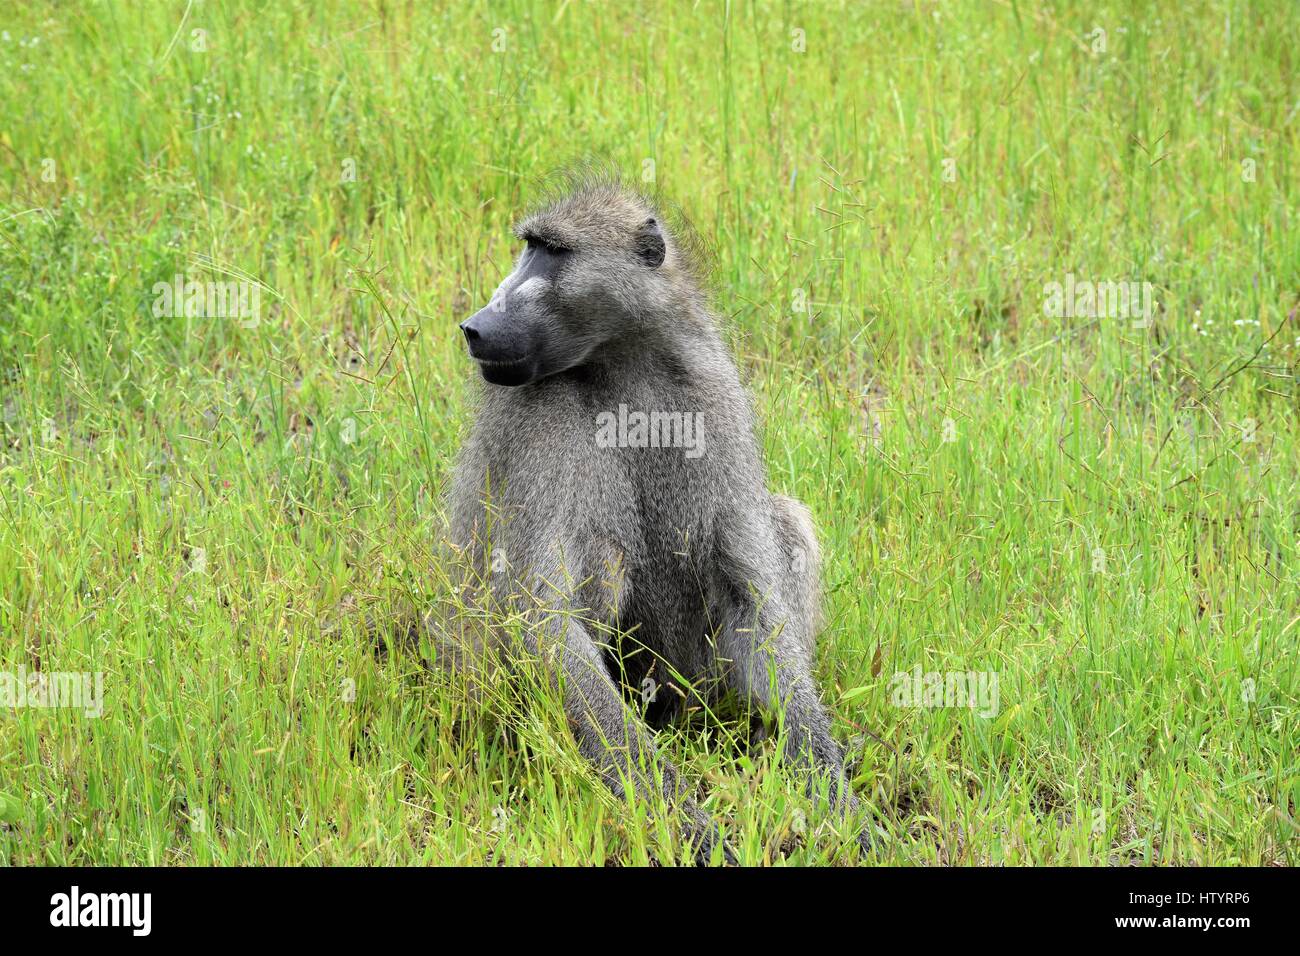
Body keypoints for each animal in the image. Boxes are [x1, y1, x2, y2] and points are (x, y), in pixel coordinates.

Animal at [446, 170, 870, 863]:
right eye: (530, 247)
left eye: (552, 252)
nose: (476, 326)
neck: (622, 362)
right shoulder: (540, 417)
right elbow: (541, 614)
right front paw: (684, 822)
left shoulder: (709, 394)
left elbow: (752, 589)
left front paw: (828, 789)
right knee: (602, 554)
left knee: (786, 524)